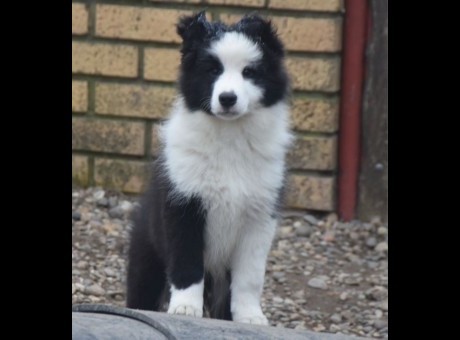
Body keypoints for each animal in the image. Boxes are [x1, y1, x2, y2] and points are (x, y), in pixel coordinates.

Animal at [126, 9, 292, 324]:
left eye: (249, 72)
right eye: (212, 70)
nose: (227, 98)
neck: (229, 137)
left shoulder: (260, 217)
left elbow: (250, 276)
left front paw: (251, 316)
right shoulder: (184, 208)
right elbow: (187, 262)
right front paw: (185, 308)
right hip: (146, 256)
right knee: (141, 293)